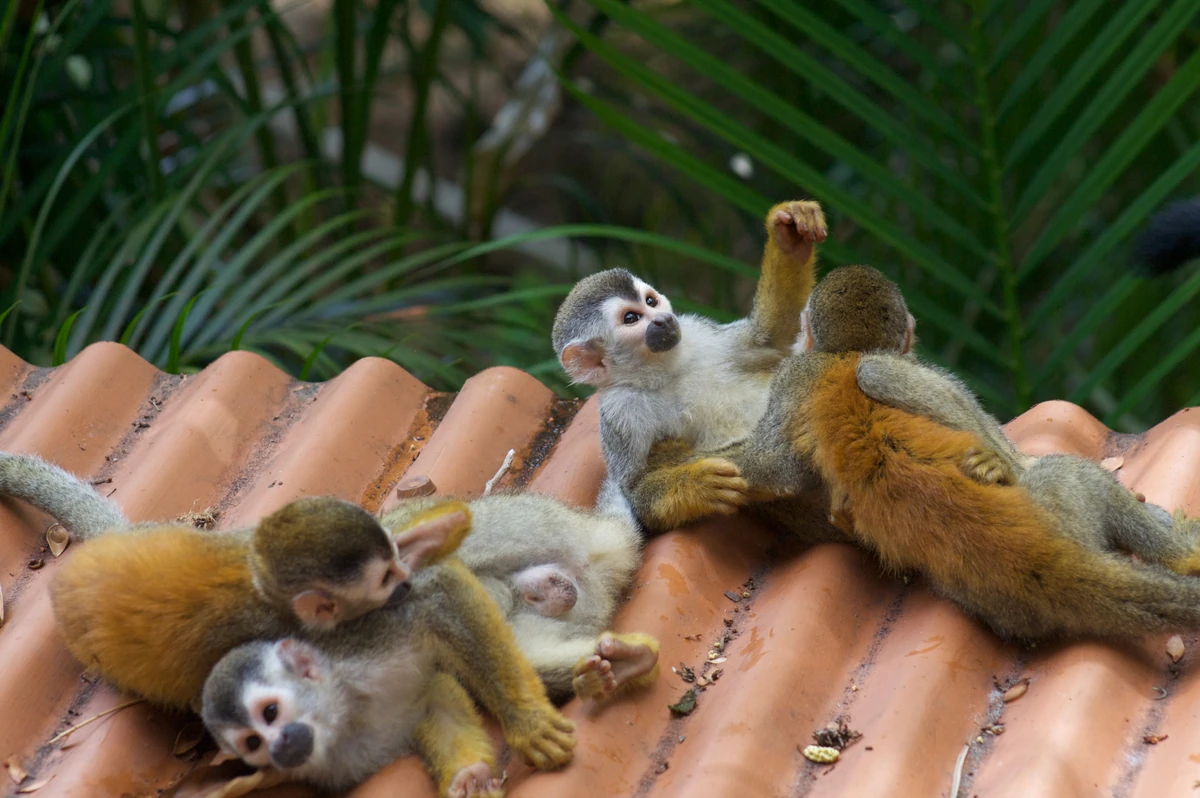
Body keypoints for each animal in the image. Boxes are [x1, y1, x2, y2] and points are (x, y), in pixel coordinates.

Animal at [0, 452, 579, 775]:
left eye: (391, 565)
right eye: (382, 580)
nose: (401, 578)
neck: (259, 591)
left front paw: (431, 534)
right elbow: (436, 599)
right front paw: (528, 723)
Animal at [551, 200, 839, 535]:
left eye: (651, 302)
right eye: (631, 318)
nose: (663, 320)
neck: (663, 372)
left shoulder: (695, 331)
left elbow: (770, 339)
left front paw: (789, 236)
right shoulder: (619, 411)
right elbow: (635, 491)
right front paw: (695, 486)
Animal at [647, 265, 1200, 642]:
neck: (842, 353)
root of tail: (1048, 561)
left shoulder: (792, 377)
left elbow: (771, 468)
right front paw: (1005, 461)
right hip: (1063, 512)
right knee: (1062, 473)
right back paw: (1182, 551)